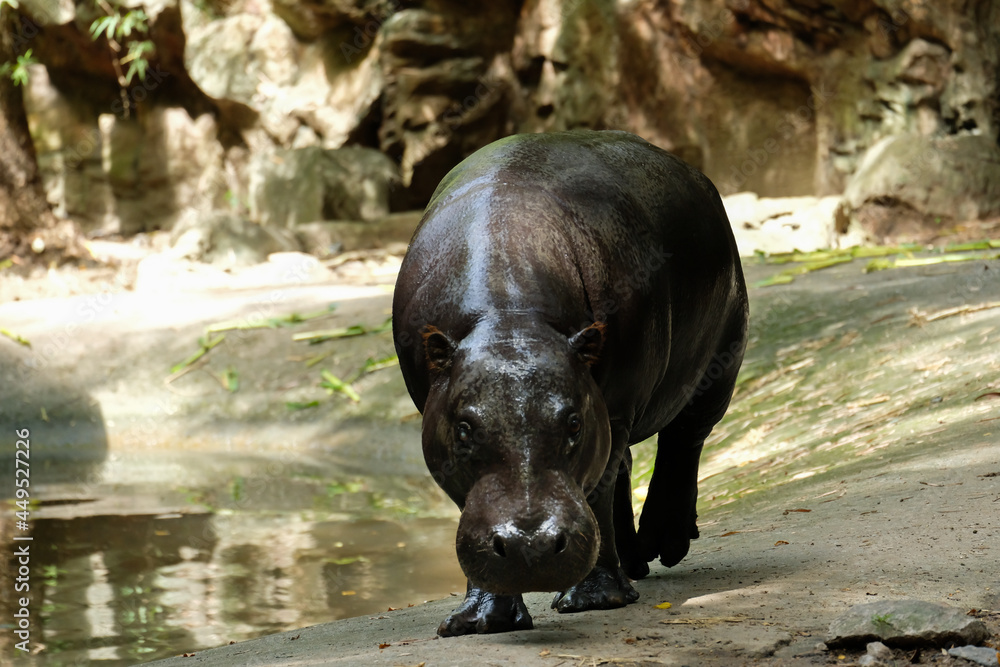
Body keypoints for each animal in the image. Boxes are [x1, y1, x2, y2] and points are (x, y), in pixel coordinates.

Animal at [392, 130, 748, 636]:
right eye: (462, 429)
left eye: (573, 423)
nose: (531, 547)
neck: (509, 318)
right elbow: (473, 504)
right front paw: (479, 621)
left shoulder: (611, 408)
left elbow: (595, 492)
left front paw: (594, 600)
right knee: (626, 464)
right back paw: (635, 562)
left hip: (721, 359)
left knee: (683, 441)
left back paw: (665, 545)